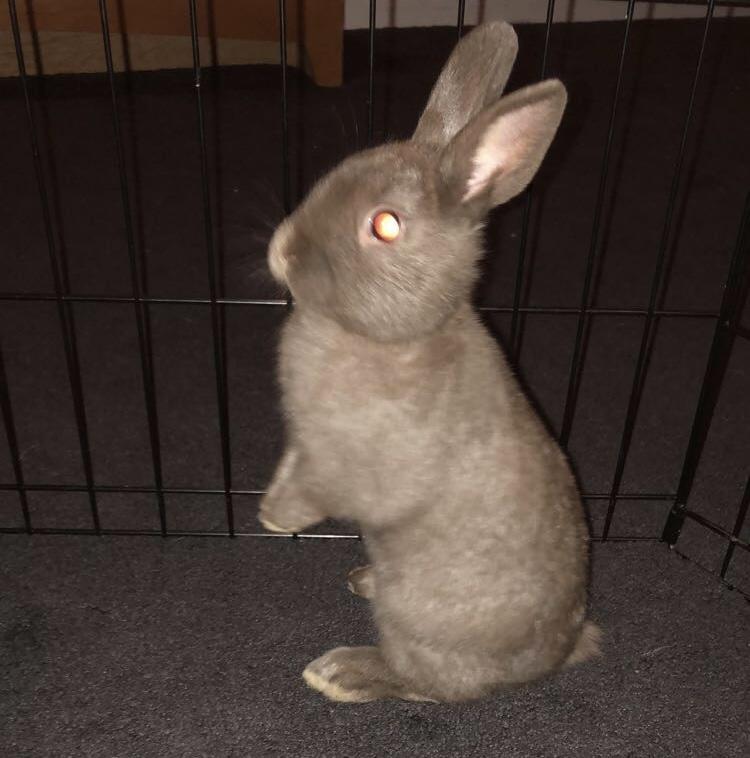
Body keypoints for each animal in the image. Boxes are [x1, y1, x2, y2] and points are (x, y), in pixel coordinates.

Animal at [258, 21, 600, 703]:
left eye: (386, 226)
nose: (281, 250)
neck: (400, 337)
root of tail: (562, 654)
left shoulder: (358, 467)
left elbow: (326, 488)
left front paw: (273, 520)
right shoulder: (302, 446)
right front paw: (269, 505)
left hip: (415, 621)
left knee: (425, 683)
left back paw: (340, 672)